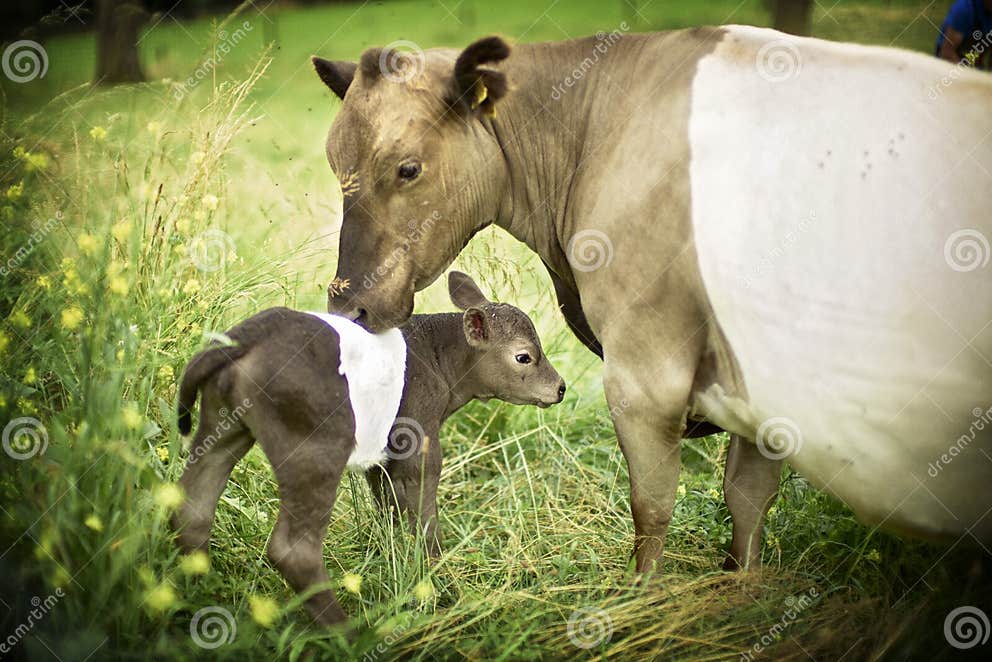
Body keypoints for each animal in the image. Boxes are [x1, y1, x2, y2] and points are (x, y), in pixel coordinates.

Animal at [311, 25, 992, 574]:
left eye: (408, 168)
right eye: (334, 163)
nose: (351, 306)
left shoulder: (645, 373)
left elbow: (652, 504)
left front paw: (640, 600)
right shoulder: (758, 383)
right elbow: (748, 498)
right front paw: (742, 590)